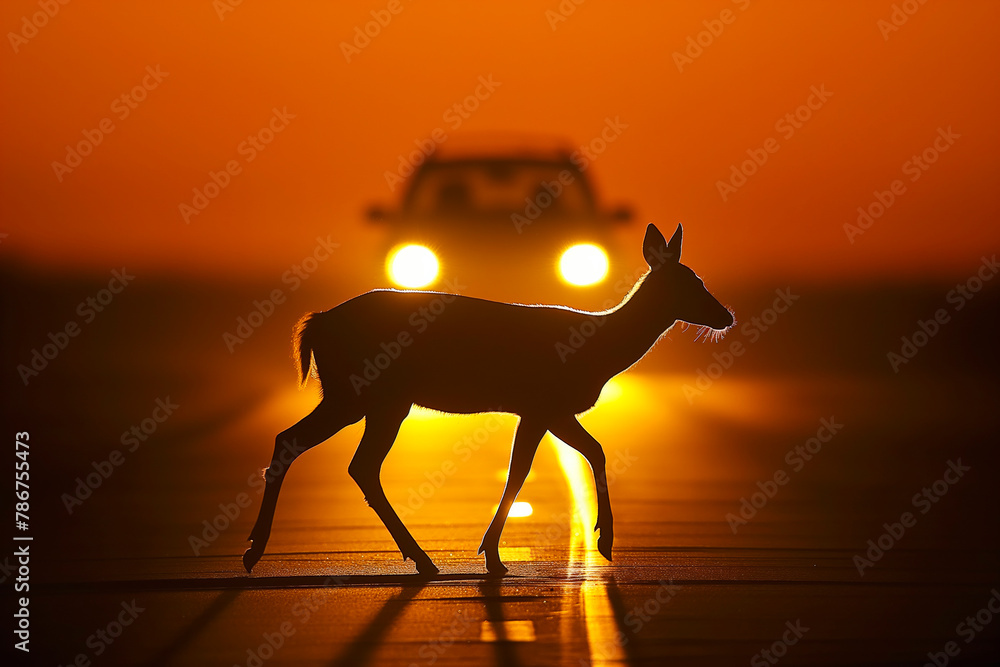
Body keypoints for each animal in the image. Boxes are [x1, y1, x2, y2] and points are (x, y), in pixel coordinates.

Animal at [243, 223, 734, 575]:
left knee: (345, 460)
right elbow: (525, 471)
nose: (726, 316)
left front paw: (595, 540)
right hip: (362, 392)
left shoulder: (548, 409)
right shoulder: (543, 403)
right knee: (317, 449)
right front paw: (503, 555)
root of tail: (317, 322)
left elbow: (588, 452)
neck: (598, 349)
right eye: (690, 283)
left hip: (374, 398)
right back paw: (258, 551)